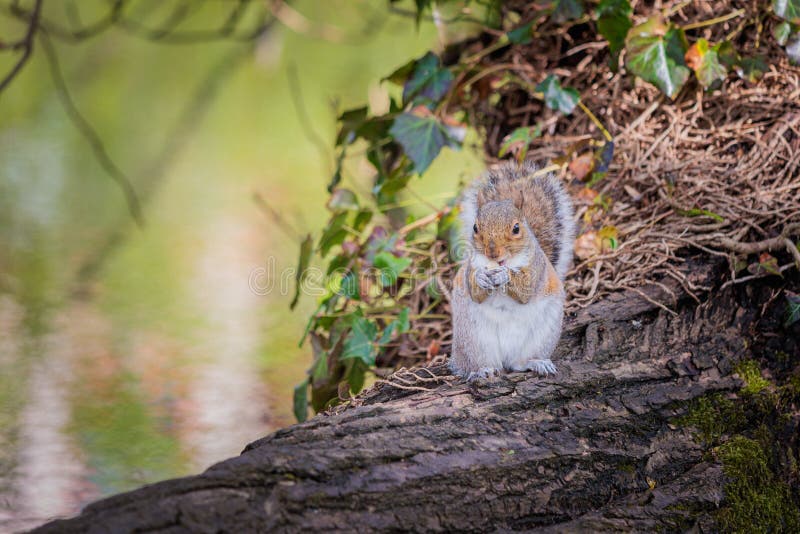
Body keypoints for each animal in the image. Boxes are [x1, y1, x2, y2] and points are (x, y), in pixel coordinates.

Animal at [449, 160, 575, 380]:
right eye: (475, 228)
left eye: (516, 228)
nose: (492, 252)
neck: (503, 262)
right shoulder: (470, 266)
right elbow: (474, 292)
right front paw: (481, 277)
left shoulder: (536, 267)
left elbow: (525, 289)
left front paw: (504, 276)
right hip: (473, 340)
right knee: (483, 363)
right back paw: (481, 370)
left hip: (542, 334)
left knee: (519, 364)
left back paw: (536, 363)